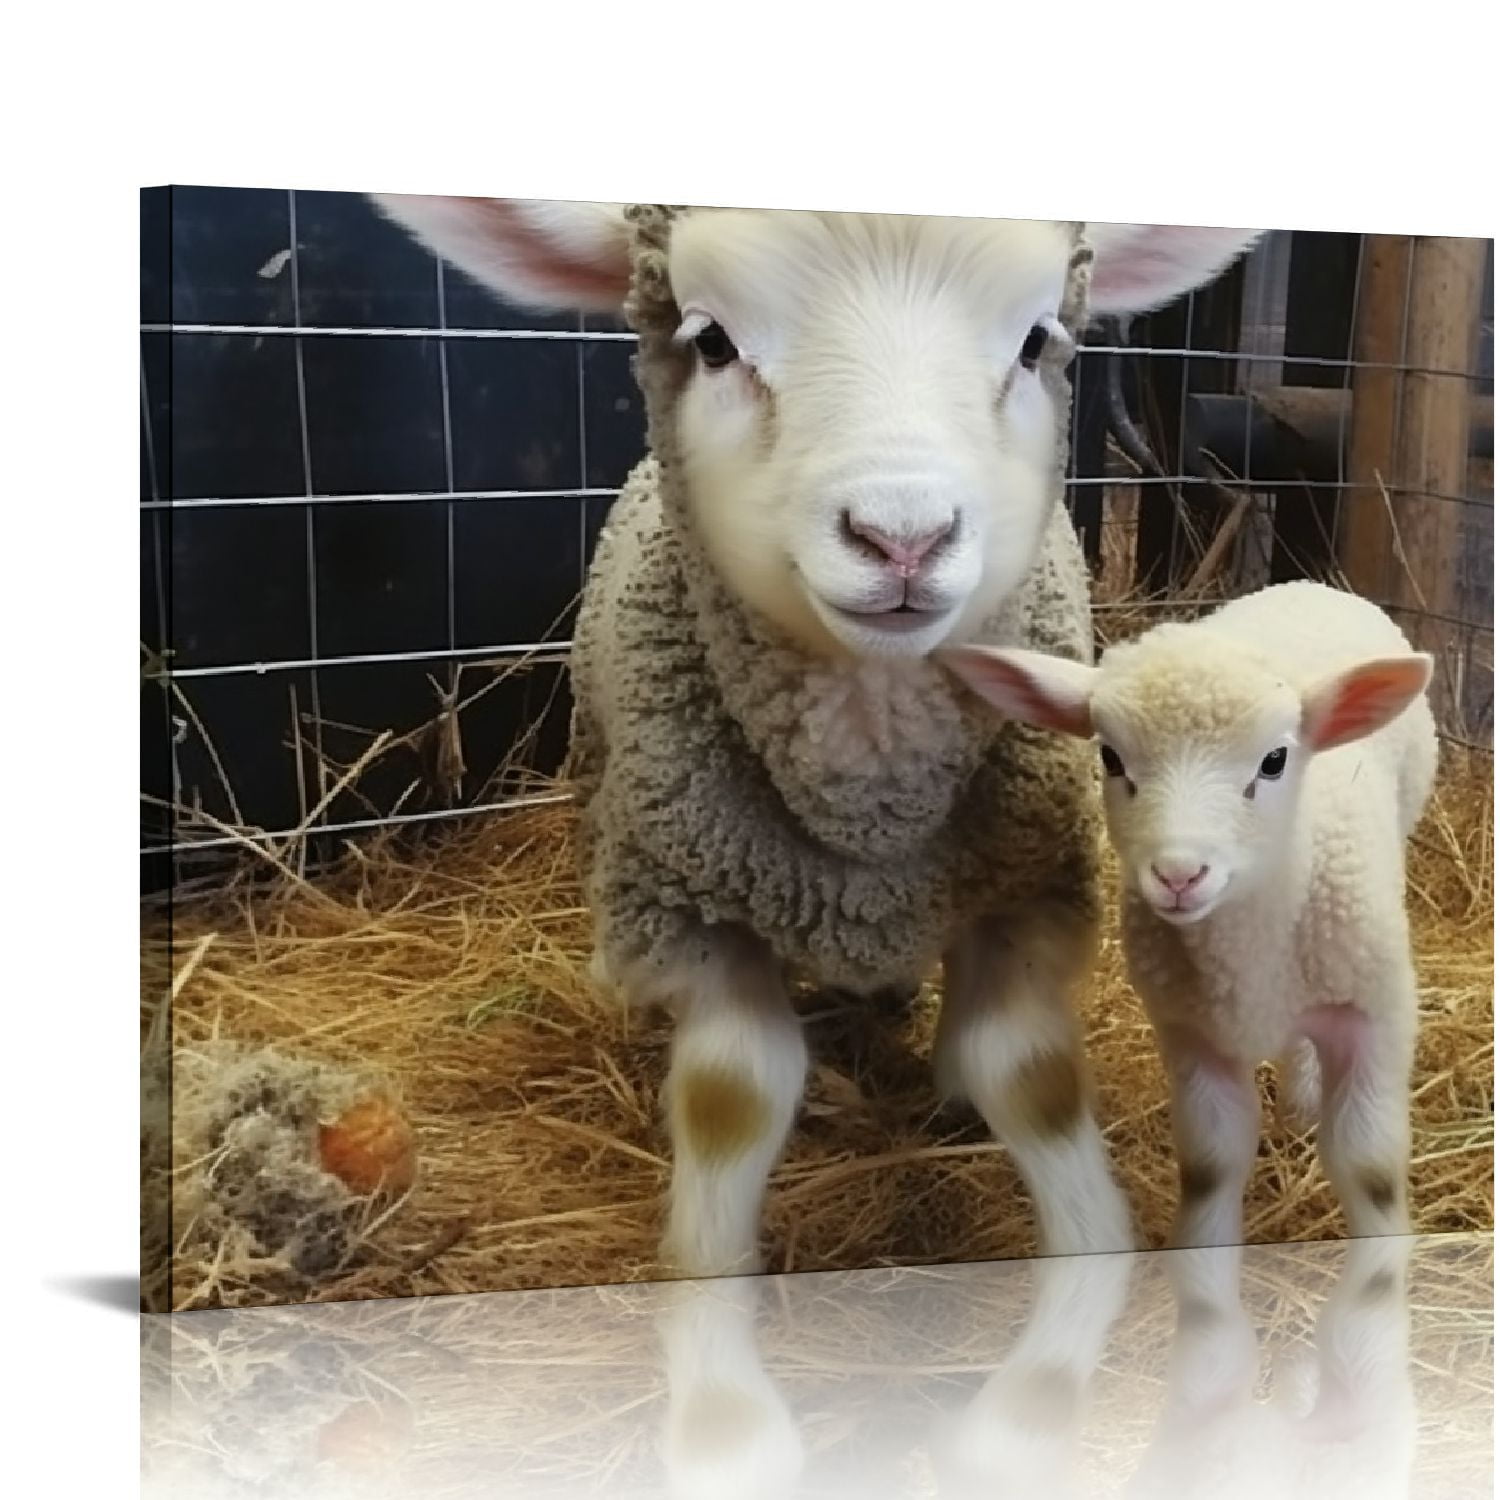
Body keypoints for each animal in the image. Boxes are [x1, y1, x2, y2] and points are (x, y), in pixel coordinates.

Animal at [373, 192, 1260, 1276]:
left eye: (1037, 341)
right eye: (712, 341)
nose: (903, 537)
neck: (867, 802)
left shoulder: (1029, 889)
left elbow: (1030, 1076)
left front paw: (1090, 1253)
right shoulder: (693, 913)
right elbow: (734, 1097)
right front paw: (705, 1286)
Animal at [943, 578, 1439, 1248]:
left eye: (1274, 760)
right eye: (1110, 758)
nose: (1179, 875)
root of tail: (1310, 583)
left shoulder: (1376, 1014)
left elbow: (1370, 1169)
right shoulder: (1190, 1032)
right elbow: (1210, 1167)